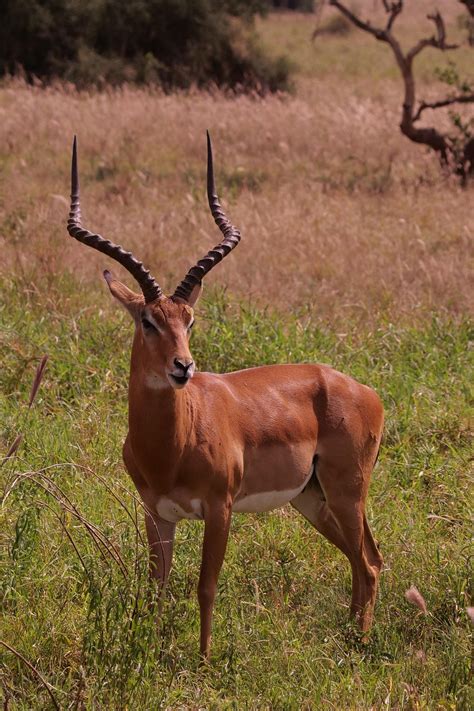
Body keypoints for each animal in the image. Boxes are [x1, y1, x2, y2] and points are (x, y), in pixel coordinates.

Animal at [67, 133, 384, 660]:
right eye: (147, 321)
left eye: (189, 321)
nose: (183, 366)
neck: (170, 448)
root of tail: (364, 391)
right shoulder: (156, 513)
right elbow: (157, 587)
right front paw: (149, 653)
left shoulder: (220, 508)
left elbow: (206, 587)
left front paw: (203, 660)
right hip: (312, 499)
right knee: (362, 561)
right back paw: (347, 638)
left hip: (347, 491)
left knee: (370, 562)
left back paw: (359, 643)